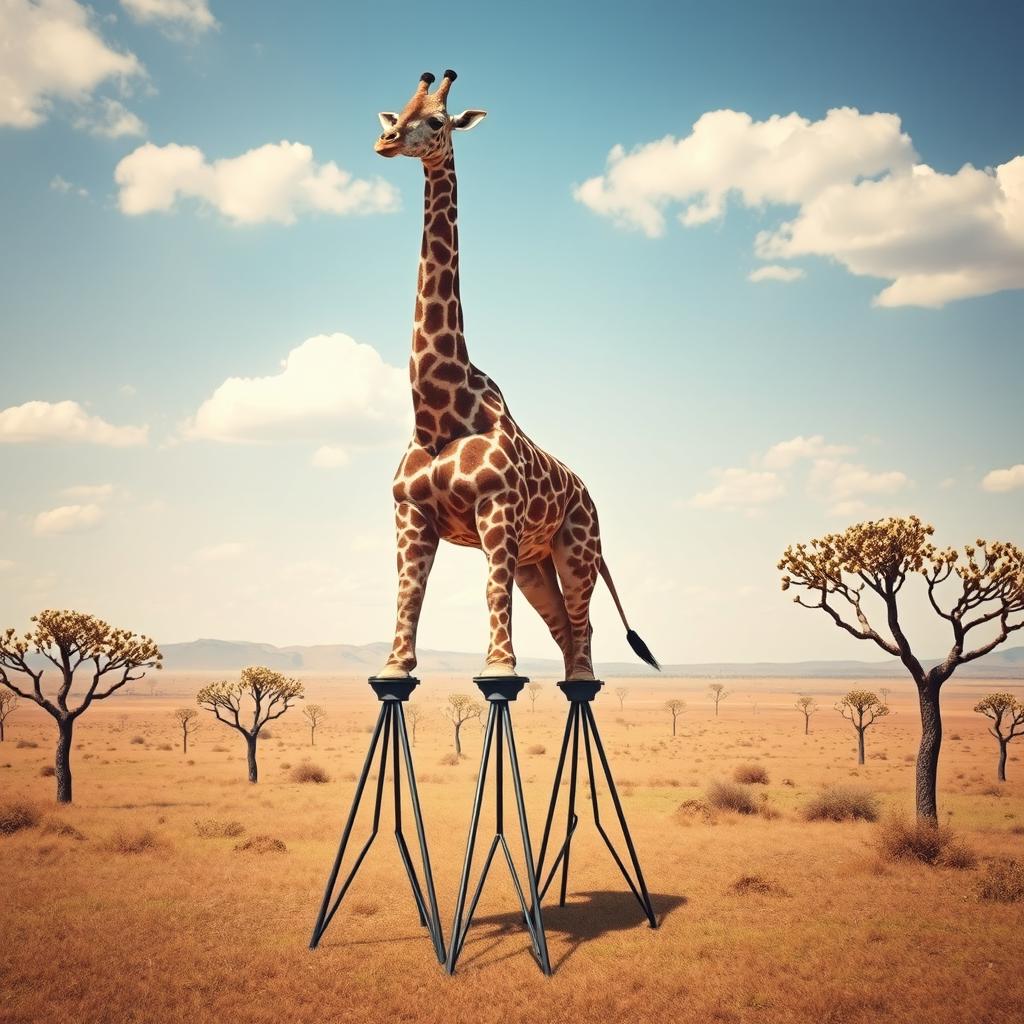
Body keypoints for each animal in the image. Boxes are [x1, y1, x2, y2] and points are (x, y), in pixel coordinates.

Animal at [373, 70, 658, 682]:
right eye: (393, 115)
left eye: (436, 121)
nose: (385, 142)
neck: (438, 410)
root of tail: (591, 497)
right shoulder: (411, 515)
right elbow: (409, 593)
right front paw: (396, 664)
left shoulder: (497, 512)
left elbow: (490, 591)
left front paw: (500, 665)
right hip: (536, 561)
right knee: (562, 627)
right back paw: (575, 676)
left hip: (576, 549)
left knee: (581, 621)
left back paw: (583, 679)